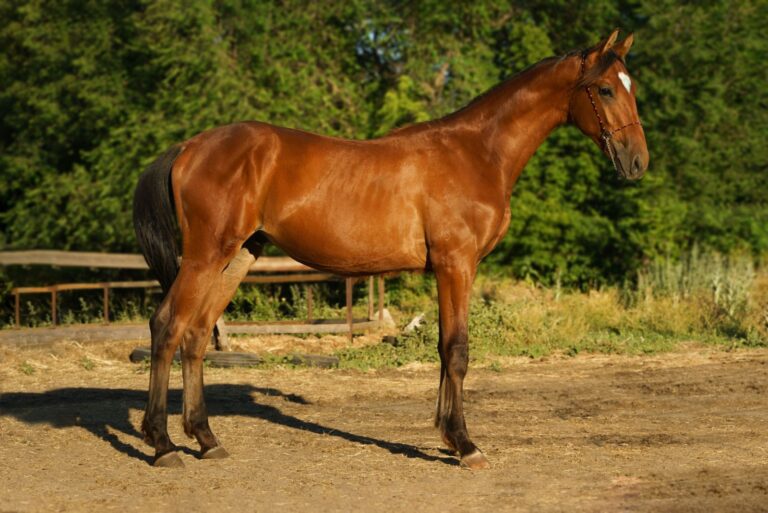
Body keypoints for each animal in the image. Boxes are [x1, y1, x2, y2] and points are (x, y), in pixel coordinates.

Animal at [133, 29, 648, 469]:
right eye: (605, 89)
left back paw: (206, 439)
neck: (478, 151)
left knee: (197, 335)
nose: (638, 162)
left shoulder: (452, 269)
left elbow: (443, 347)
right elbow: (457, 349)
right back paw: (163, 445)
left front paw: (447, 435)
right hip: (205, 256)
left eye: (631, 85)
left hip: (237, 257)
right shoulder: (455, 265)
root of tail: (189, 146)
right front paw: (465, 444)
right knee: (167, 327)